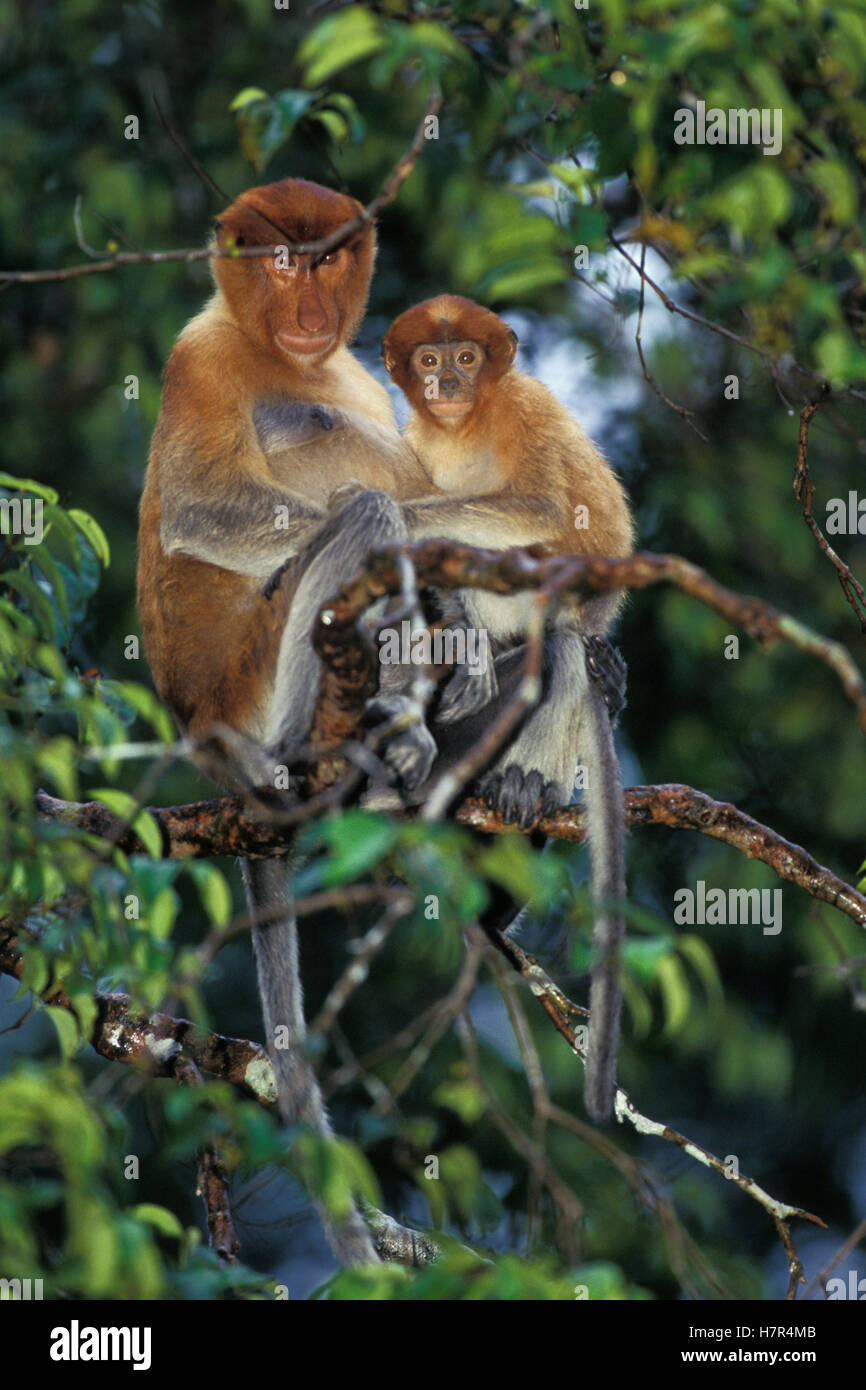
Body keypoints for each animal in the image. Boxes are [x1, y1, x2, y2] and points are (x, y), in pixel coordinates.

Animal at [382, 294, 634, 1120]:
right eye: (430, 361)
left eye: (467, 359)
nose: (448, 385)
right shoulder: (415, 441)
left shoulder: (529, 411)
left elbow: (559, 513)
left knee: (556, 641)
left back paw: (527, 783)